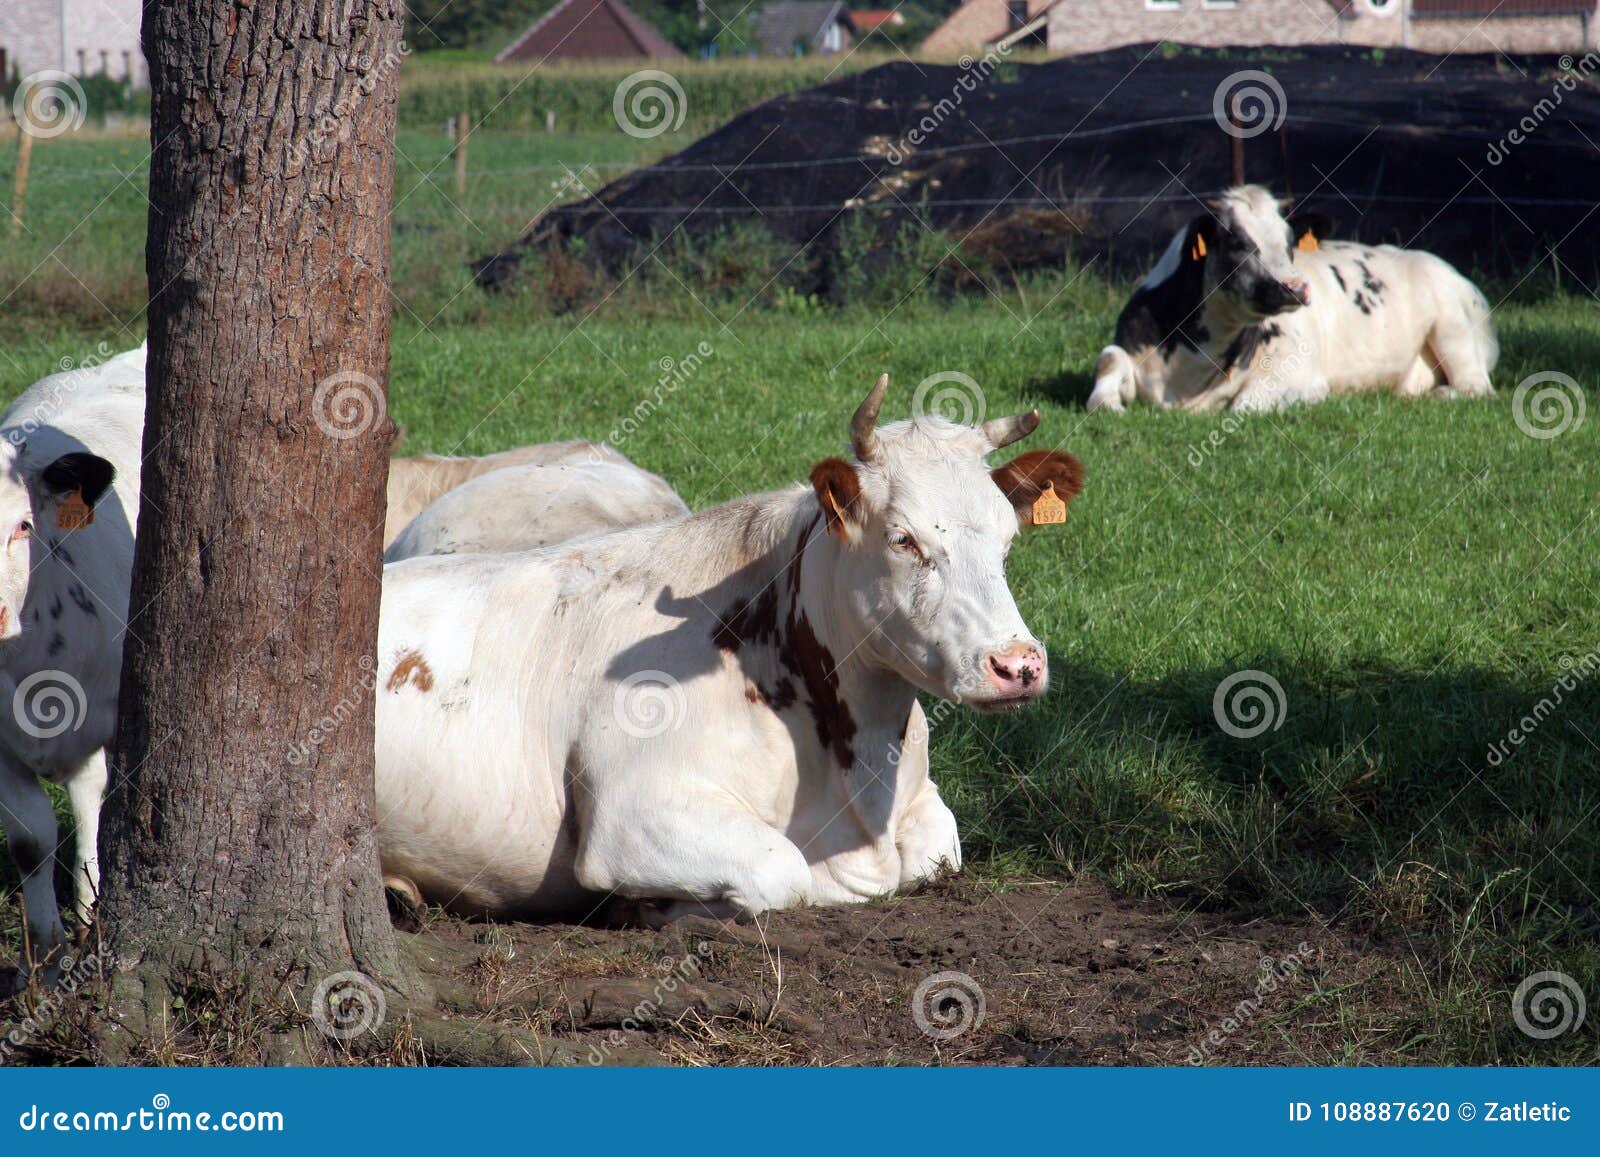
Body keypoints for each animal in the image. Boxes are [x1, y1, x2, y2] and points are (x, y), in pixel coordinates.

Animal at [1087, 185, 1498, 414]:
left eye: (1289, 243)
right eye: (1237, 242)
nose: (1294, 288)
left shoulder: (1298, 375)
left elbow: (1243, 407)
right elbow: (1108, 361)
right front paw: (1107, 404)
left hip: (1453, 330)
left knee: (1476, 387)